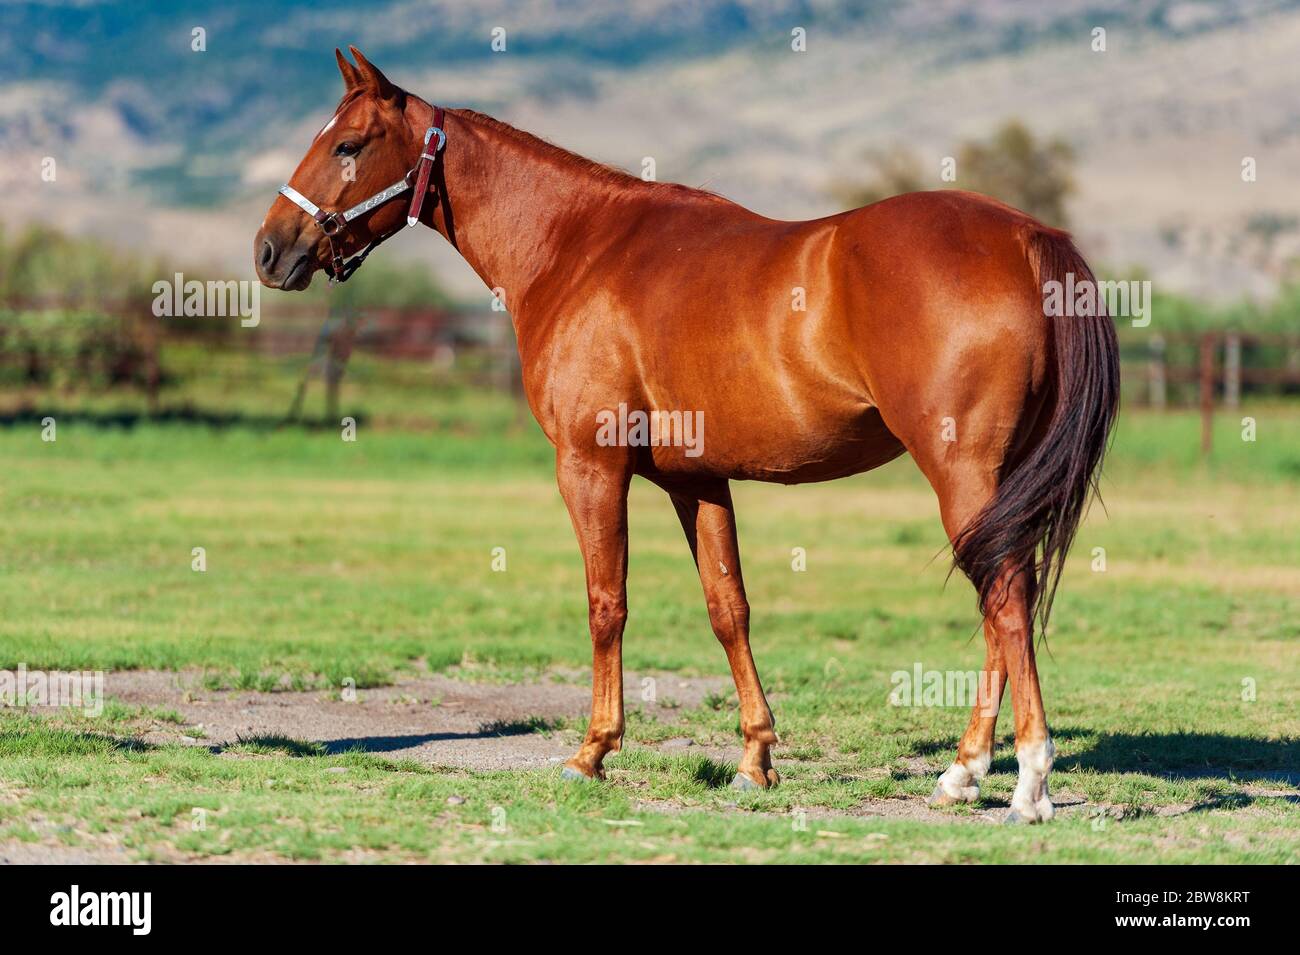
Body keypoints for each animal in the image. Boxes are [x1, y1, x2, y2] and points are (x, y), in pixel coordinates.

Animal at [254, 47, 1119, 823]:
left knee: (1005, 598)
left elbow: (606, 603)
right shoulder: (694, 477)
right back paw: (962, 773)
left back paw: (1027, 781)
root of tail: (1023, 237)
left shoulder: (591, 466)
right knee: (1002, 596)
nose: (269, 249)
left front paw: (592, 752)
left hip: (960, 470)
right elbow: (727, 606)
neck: (578, 246)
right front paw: (755, 758)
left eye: (347, 145)